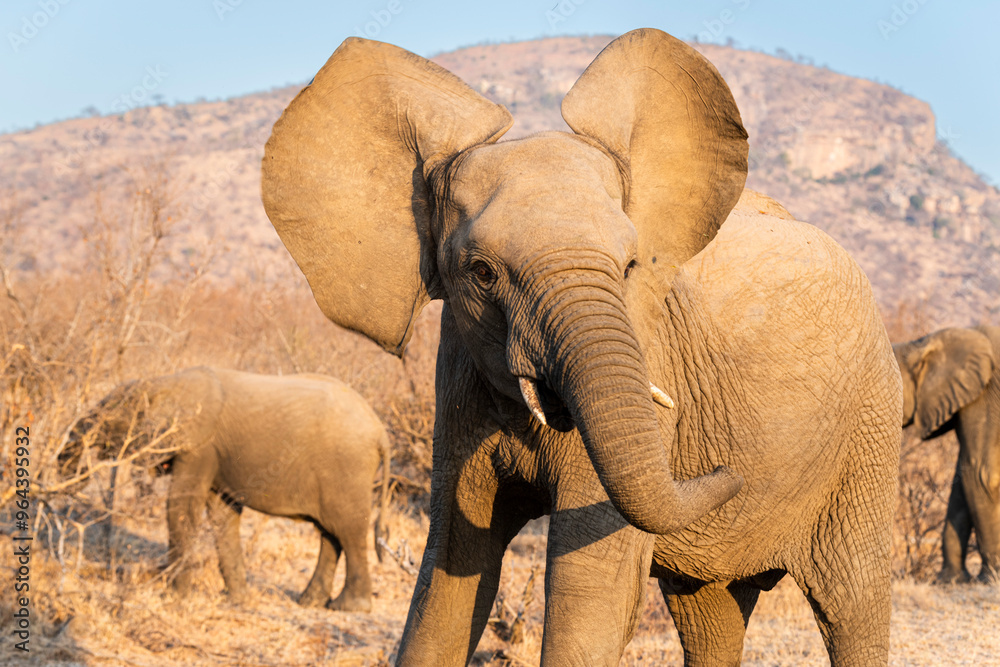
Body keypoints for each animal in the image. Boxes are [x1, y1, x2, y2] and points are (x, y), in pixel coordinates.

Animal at [61, 366, 391, 611]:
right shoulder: (215, 454)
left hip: (347, 469)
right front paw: (236, 599)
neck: (163, 381)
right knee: (329, 534)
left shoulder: (199, 444)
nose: (76, 476)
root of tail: (381, 432)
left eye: (108, 419)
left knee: (348, 531)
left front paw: (176, 596)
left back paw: (349, 607)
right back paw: (309, 602)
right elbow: (222, 514)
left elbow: (182, 507)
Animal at [260, 29, 902, 665]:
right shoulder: (459, 373)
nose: (725, 469)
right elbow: (450, 574)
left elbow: (589, 588)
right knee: (709, 612)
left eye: (630, 265)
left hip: (868, 433)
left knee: (851, 601)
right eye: (482, 273)